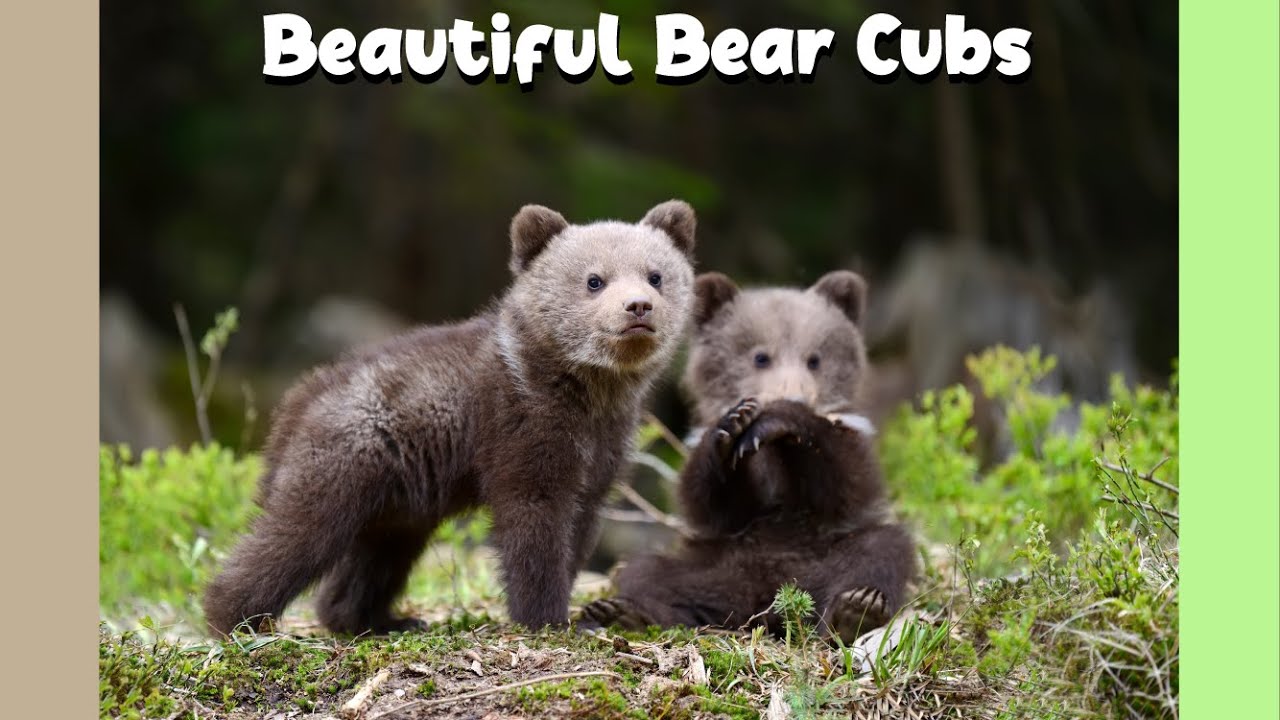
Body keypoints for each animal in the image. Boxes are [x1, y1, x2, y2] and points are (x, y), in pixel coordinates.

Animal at [203, 200, 699, 636]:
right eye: (594, 279)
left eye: (656, 275)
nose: (638, 307)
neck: (587, 389)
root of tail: (299, 399)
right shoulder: (522, 427)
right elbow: (534, 519)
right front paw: (548, 617)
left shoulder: (603, 448)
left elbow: (581, 523)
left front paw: (586, 610)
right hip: (347, 457)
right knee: (296, 534)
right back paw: (233, 617)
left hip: (399, 500)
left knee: (376, 556)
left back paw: (379, 620)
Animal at [580, 270, 917, 643]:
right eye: (761, 357)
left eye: (815, 359)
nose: (794, 392)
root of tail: (769, 602)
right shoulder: (719, 494)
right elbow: (710, 501)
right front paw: (733, 425)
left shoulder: (851, 443)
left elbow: (844, 486)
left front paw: (781, 418)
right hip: (714, 563)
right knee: (648, 570)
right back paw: (627, 613)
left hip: (825, 557)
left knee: (881, 549)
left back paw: (855, 610)